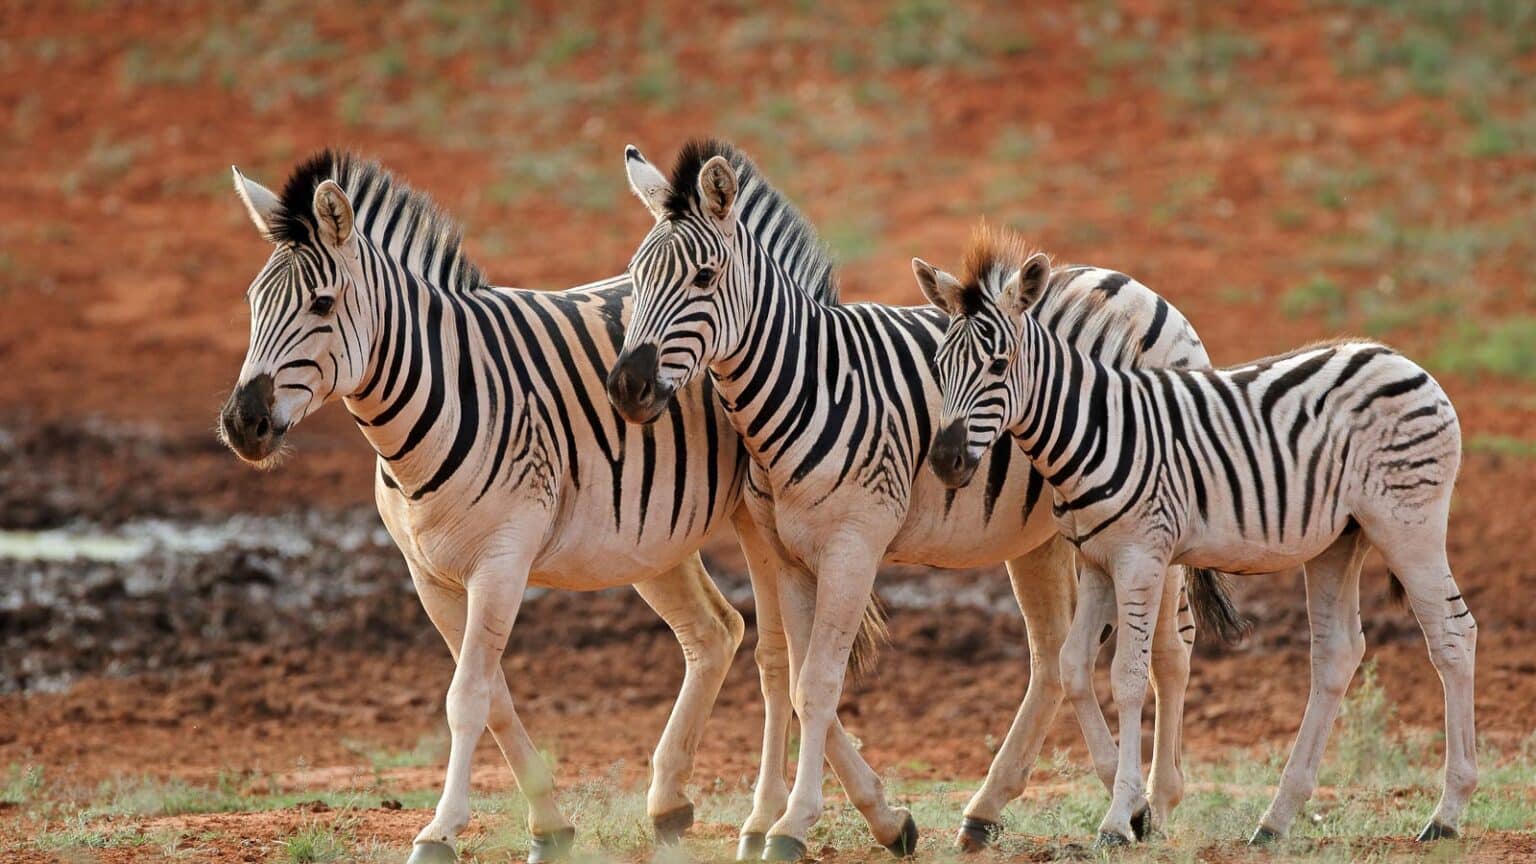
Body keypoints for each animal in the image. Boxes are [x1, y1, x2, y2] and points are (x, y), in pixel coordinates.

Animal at [218, 150, 798, 864]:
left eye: (322, 304)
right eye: (252, 302)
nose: (242, 424)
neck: (433, 401)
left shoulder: (501, 561)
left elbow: (466, 697)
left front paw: (439, 832)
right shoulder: (430, 576)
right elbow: (491, 695)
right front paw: (549, 825)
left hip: (760, 516)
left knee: (782, 652)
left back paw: (772, 819)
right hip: (649, 538)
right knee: (714, 633)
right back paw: (671, 804)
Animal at [605, 139, 1245, 860]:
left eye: (704, 277)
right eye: (635, 276)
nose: (625, 386)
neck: (807, 382)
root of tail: (1141, 289)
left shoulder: (854, 545)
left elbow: (817, 682)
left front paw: (793, 825)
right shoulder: (788, 554)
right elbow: (797, 683)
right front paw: (869, 817)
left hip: (1149, 518)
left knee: (1170, 652)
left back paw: (1153, 806)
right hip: (1044, 534)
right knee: (1054, 659)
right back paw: (1007, 808)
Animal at [920, 227, 1474, 846]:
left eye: (998, 364)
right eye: (938, 363)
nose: (943, 460)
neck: (1092, 427)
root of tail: (1403, 360)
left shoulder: (1141, 555)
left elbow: (1127, 676)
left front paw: (1120, 820)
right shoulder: (1096, 562)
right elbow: (1073, 667)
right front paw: (1133, 809)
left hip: (1408, 524)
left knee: (1454, 635)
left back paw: (1446, 816)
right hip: (1340, 539)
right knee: (1337, 653)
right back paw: (1275, 821)